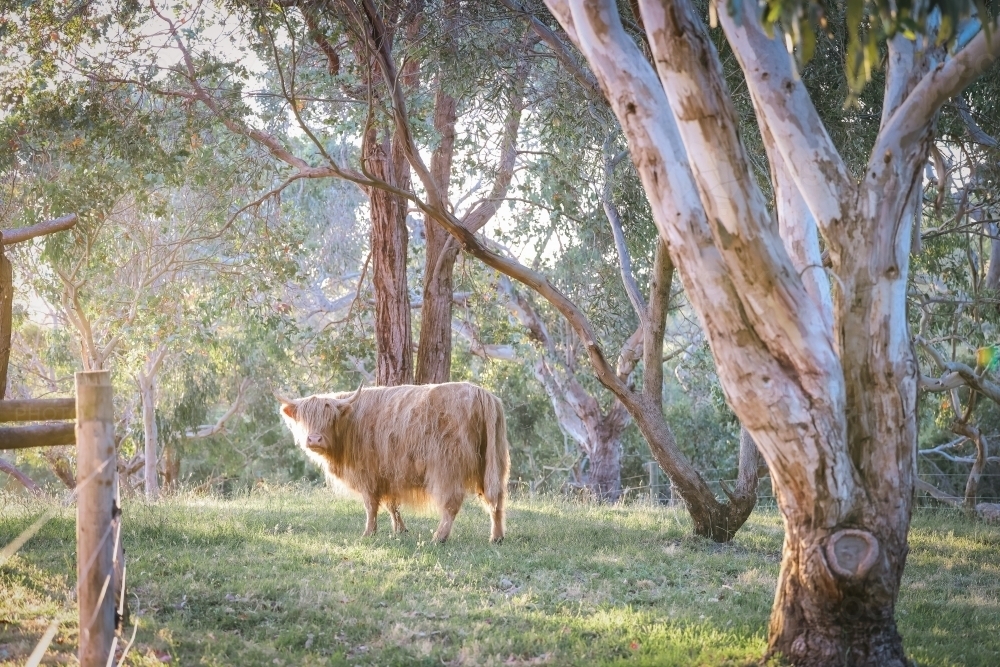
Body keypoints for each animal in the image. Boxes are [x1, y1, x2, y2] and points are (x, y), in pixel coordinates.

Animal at [277, 382, 510, 543]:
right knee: (496, 498)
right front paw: (400, 530)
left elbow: (371, 505)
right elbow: (392, 505)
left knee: (452, 502)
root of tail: (482, 393)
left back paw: (439, 537)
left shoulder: (368, 473)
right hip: (493, 461)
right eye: (305, 419)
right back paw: (496, 537)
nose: (314, 439)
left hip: (446, 466)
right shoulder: (388, 473)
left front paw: (368, 533)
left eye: (330, 418)